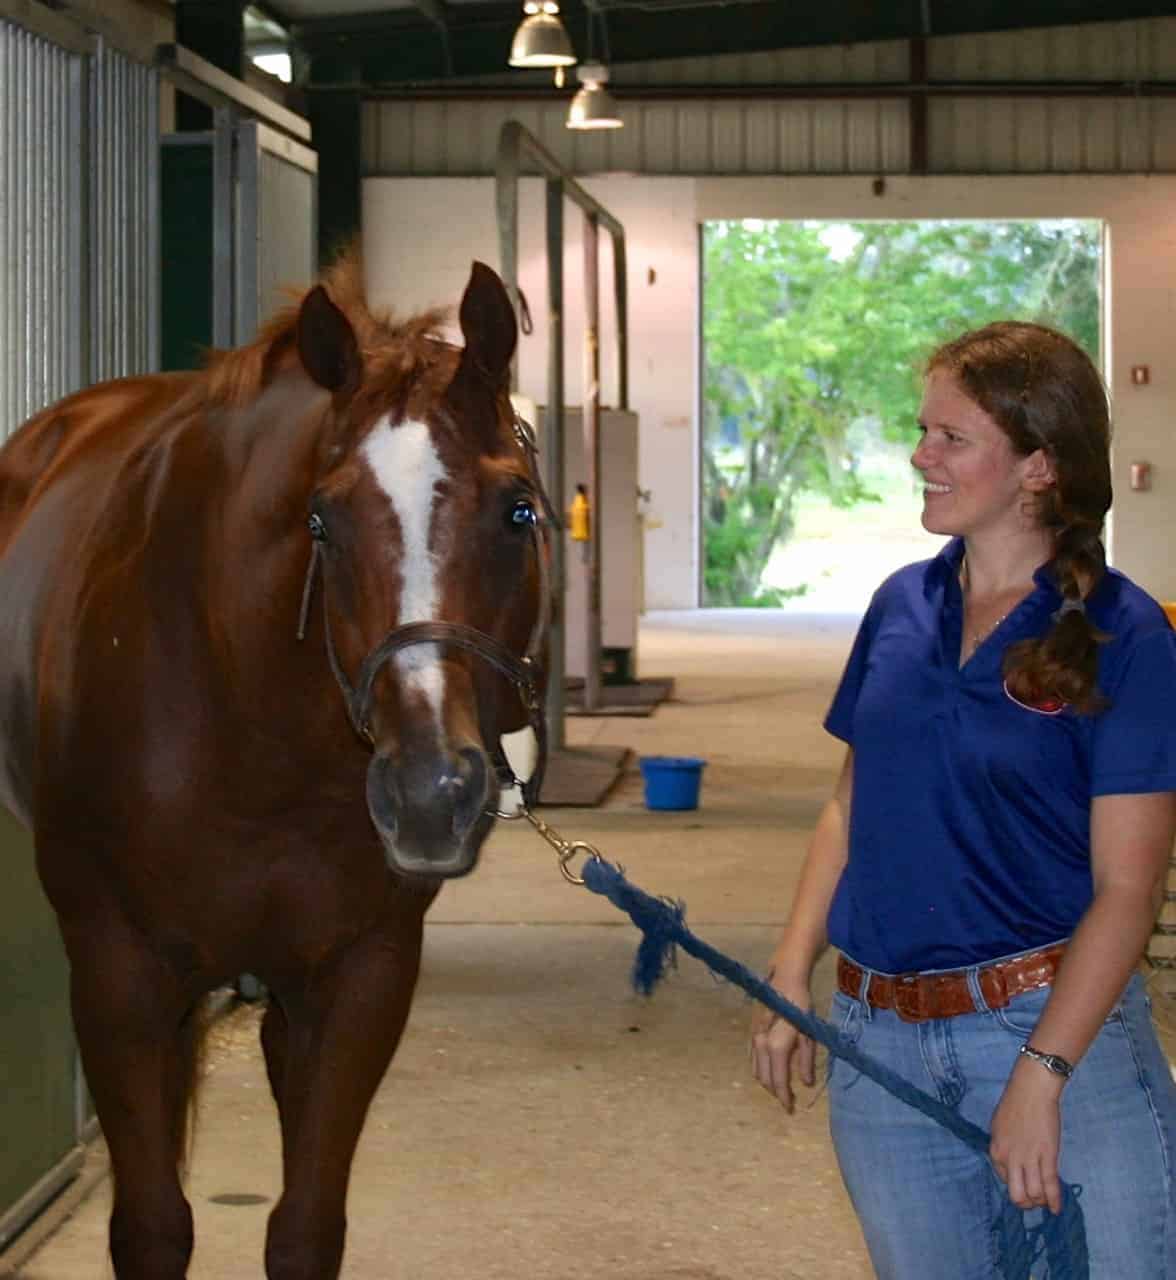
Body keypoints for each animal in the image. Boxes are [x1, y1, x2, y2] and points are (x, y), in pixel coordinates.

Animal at [0, 256, 550, 1279]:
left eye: (519, 509)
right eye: (321, 520)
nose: (430, 796)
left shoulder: (360, 977)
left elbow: (304, 1229)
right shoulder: (116, 975)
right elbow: (152, 1229)